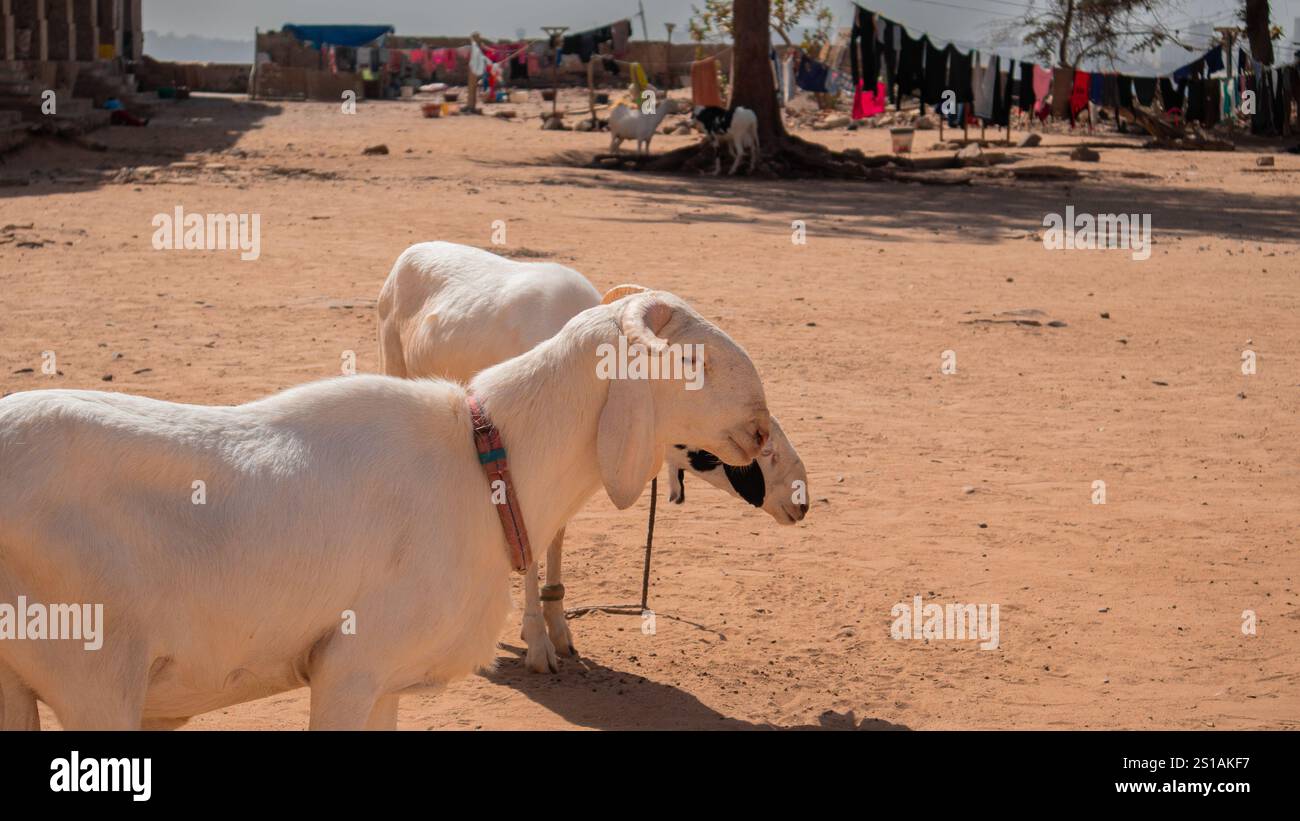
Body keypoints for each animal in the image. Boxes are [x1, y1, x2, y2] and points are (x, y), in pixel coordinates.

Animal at [0, 289, 772, 730]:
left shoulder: (385, 683)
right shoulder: (349, 667)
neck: (484, 469)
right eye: (694, 362)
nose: (763, 428)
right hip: (96, 675)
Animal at [377, 242, 807, 674]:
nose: (800, 500)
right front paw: (537, 641)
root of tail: (412, 251)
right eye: (689, 360)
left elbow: (556, 535)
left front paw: (558, 628)